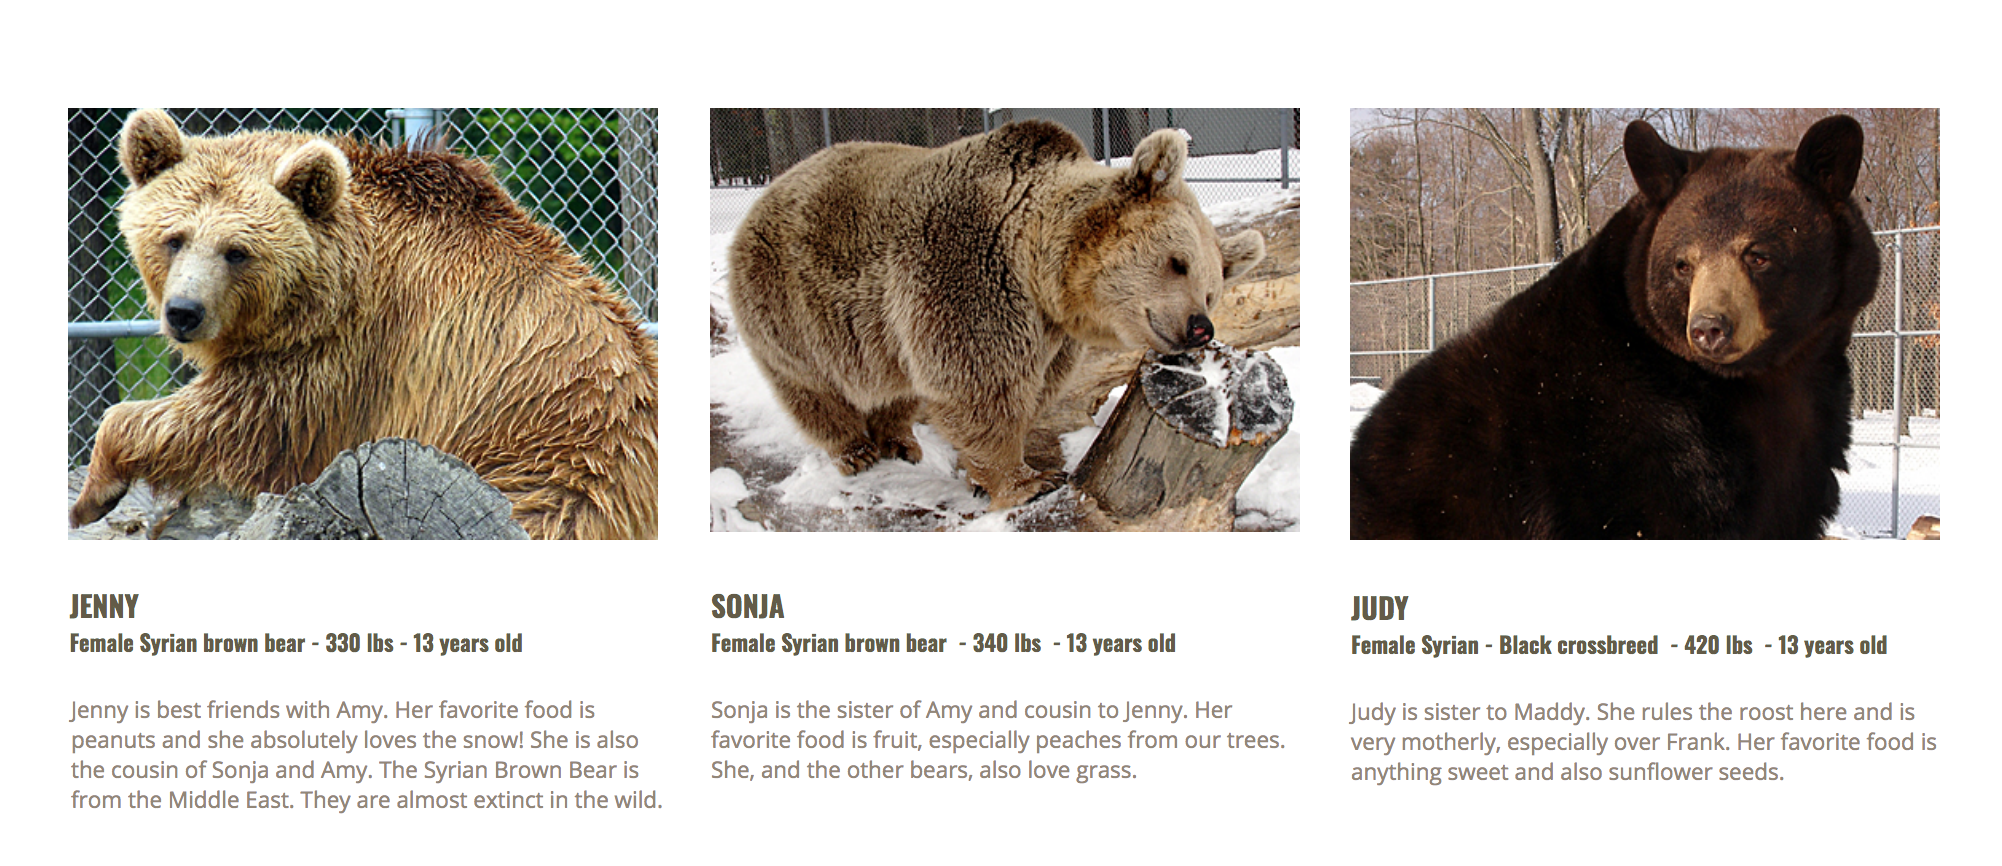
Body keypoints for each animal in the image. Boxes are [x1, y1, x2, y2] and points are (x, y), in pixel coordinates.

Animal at [69, 109, 658, 540]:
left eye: (238, 251)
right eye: (174, 237)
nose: (184, 312)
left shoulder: (353, 355)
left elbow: (241, 418)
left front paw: (93, 491)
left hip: (561, 462)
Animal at [727, 120, 1265, 510]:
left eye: (1212, 291)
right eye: (1177, 262)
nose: (1199, 327)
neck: (1037, 262)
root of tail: (769, 190)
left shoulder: (1050, 332)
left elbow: (1027, 390)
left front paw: (986, 473)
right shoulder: (965, 270)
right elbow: (980, 386)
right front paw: (1030, 480)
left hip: (875, 335)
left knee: (895, 388)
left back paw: (899, 440)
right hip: (789, 304)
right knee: (811, 387)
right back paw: (855, 450)